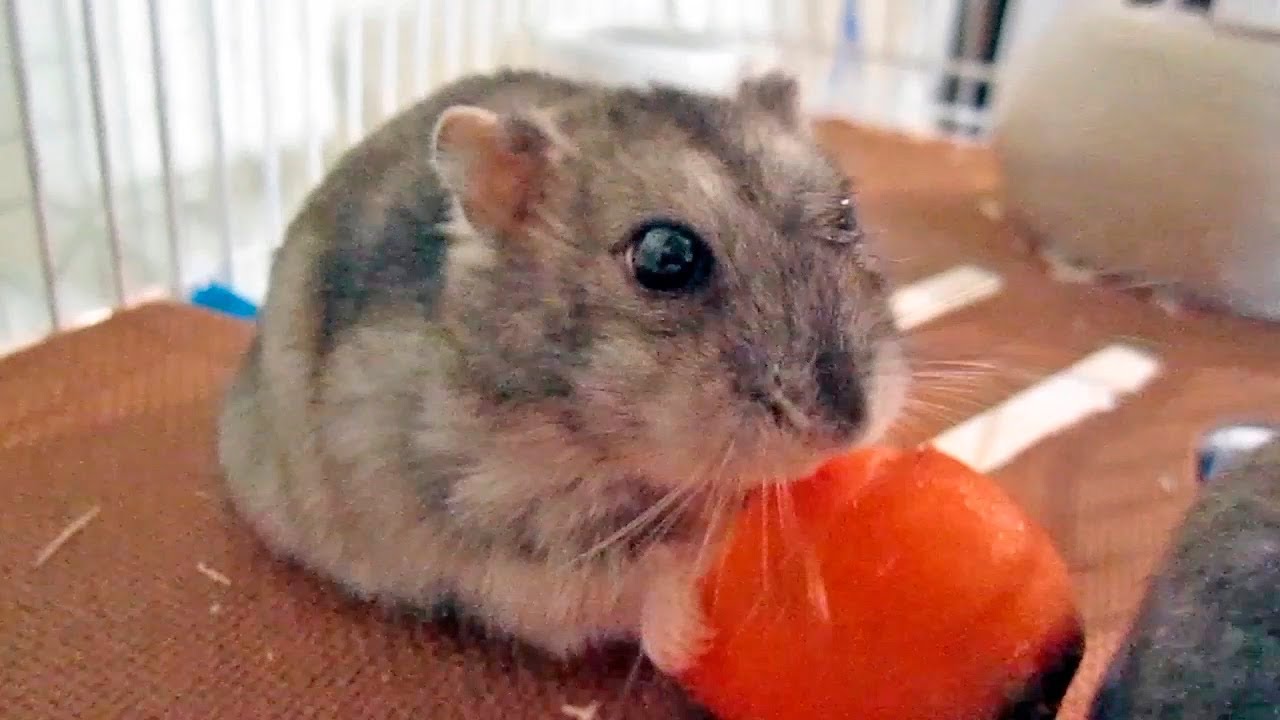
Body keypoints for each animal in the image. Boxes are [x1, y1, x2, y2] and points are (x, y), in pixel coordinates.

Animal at [216, 68, 907, 674]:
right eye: (665, 256)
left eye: (846, 213)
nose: (848, 428)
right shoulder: (493, 525)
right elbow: (626, 575)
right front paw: (690, 619)